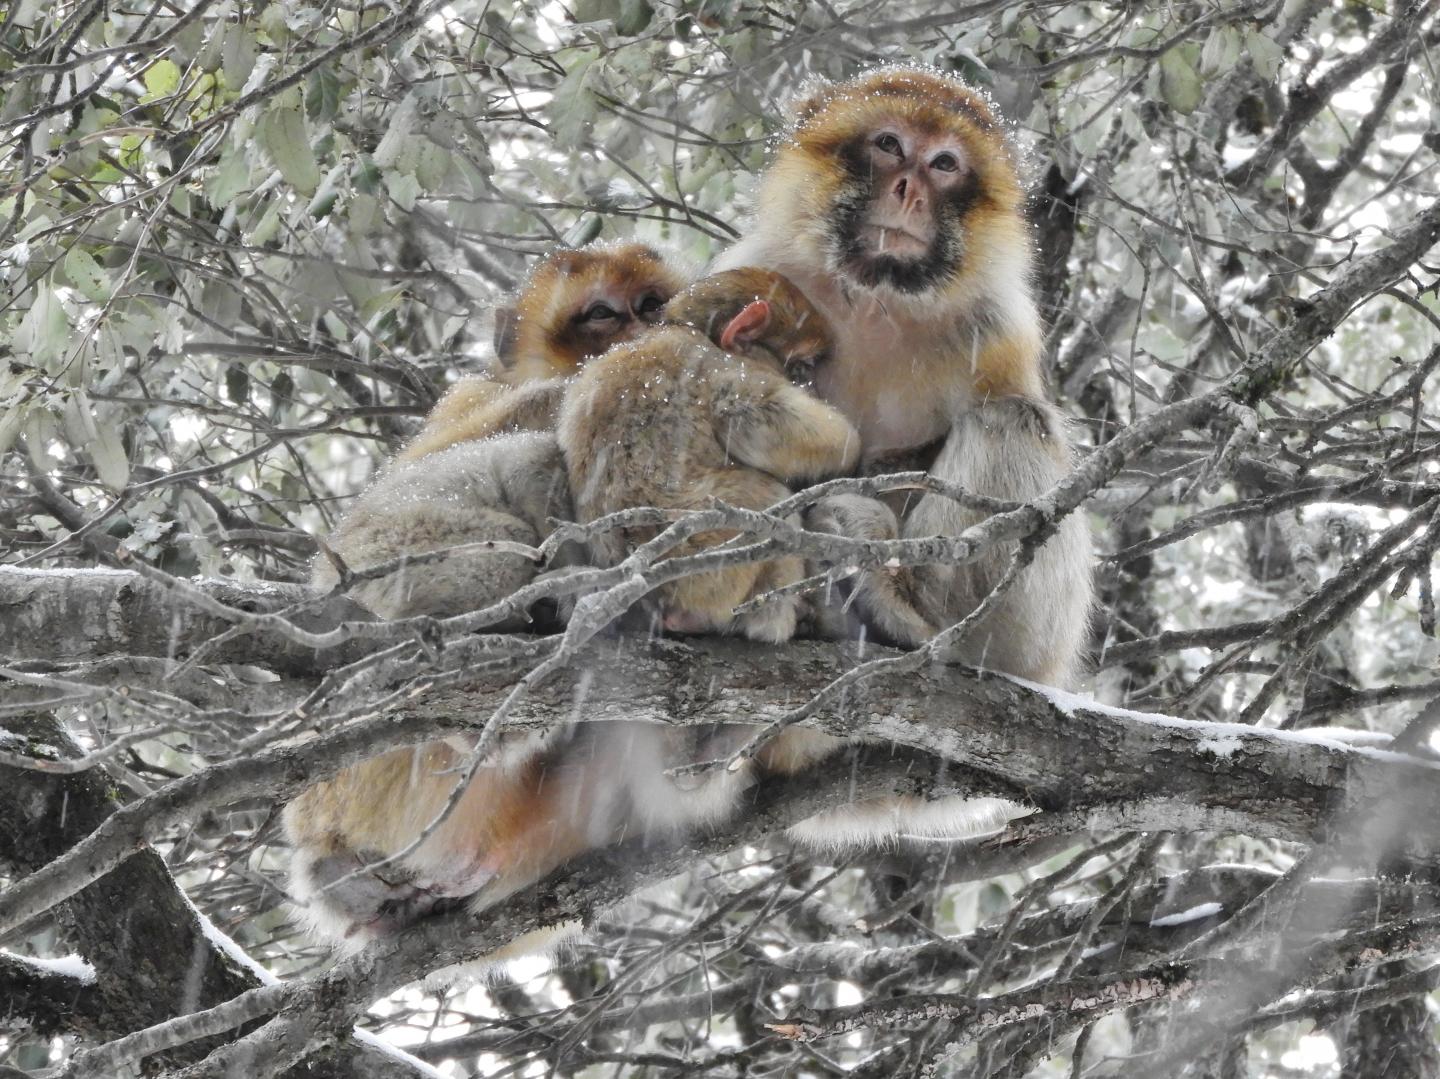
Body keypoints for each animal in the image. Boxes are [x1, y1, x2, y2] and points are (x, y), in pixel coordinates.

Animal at [558, 267, 861, 643]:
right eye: (801, 367)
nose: (815, 388)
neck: (686, 329)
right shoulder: (721, 367)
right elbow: (751, 416)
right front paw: (850, 445)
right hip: (710, 566)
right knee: (768, 500)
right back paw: (770, 620)